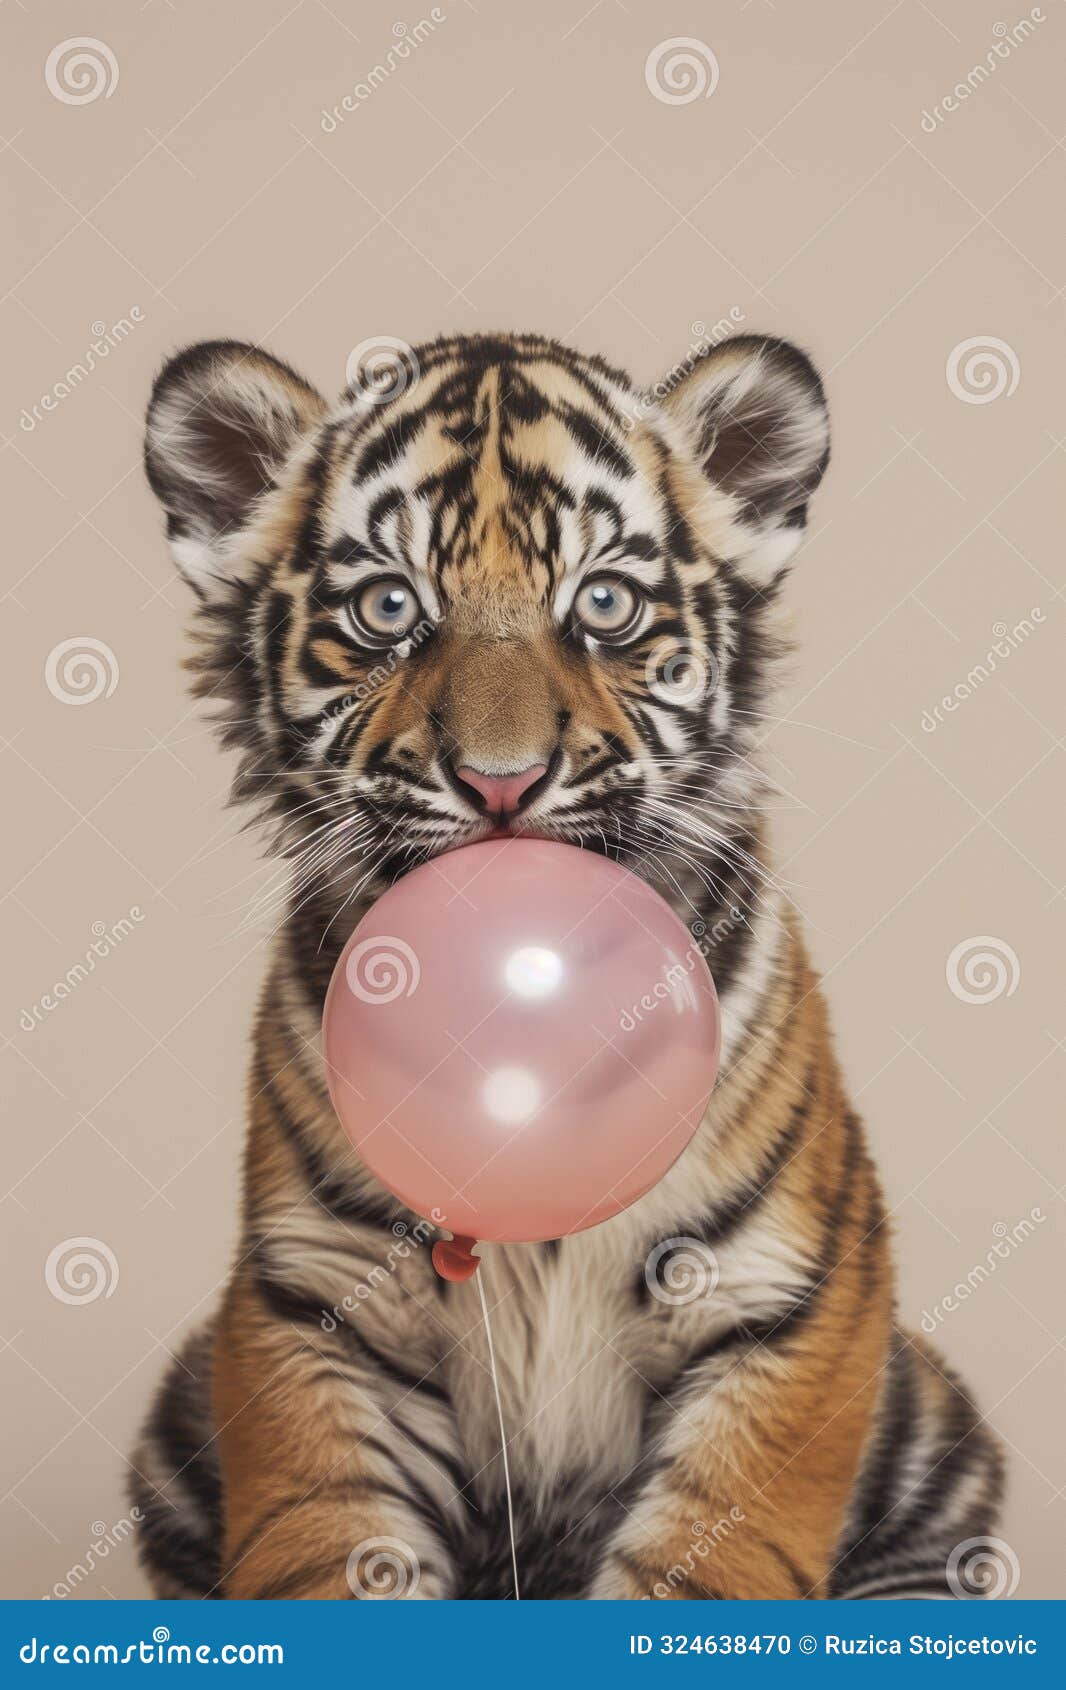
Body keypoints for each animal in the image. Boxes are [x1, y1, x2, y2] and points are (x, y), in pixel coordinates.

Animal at [129, 329, 1002, 1600]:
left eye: (604, 601)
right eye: (389, 606)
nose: (501, 782)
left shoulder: (782, 1304)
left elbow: (701, 1569)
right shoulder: (314, 1306)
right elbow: (331, 1556)